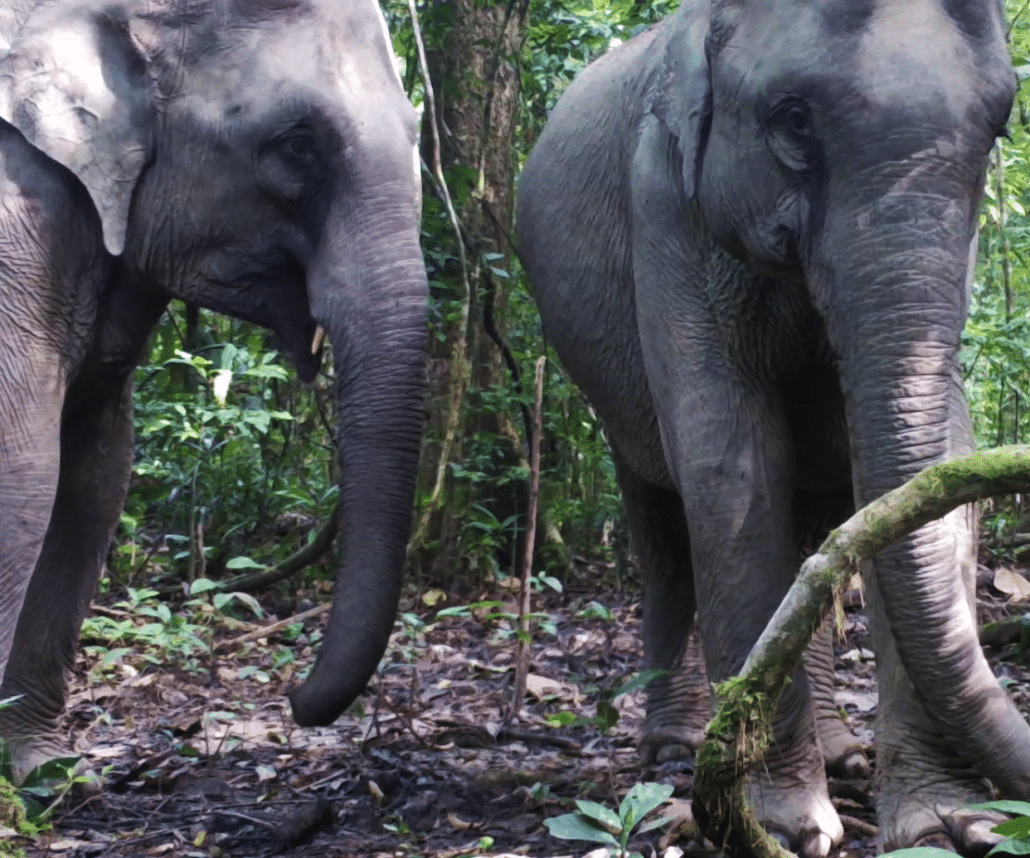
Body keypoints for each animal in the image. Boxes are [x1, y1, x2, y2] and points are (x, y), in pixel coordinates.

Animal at [516, 0, 1028, 854]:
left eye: (998, 125)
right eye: (793, 118)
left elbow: (940, 466)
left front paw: (948, 823)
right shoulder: (664, 205)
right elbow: (727, 460)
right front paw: (786, 826)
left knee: (815, 531)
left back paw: (844, 753)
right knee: (660, 527)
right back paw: (673, 753)